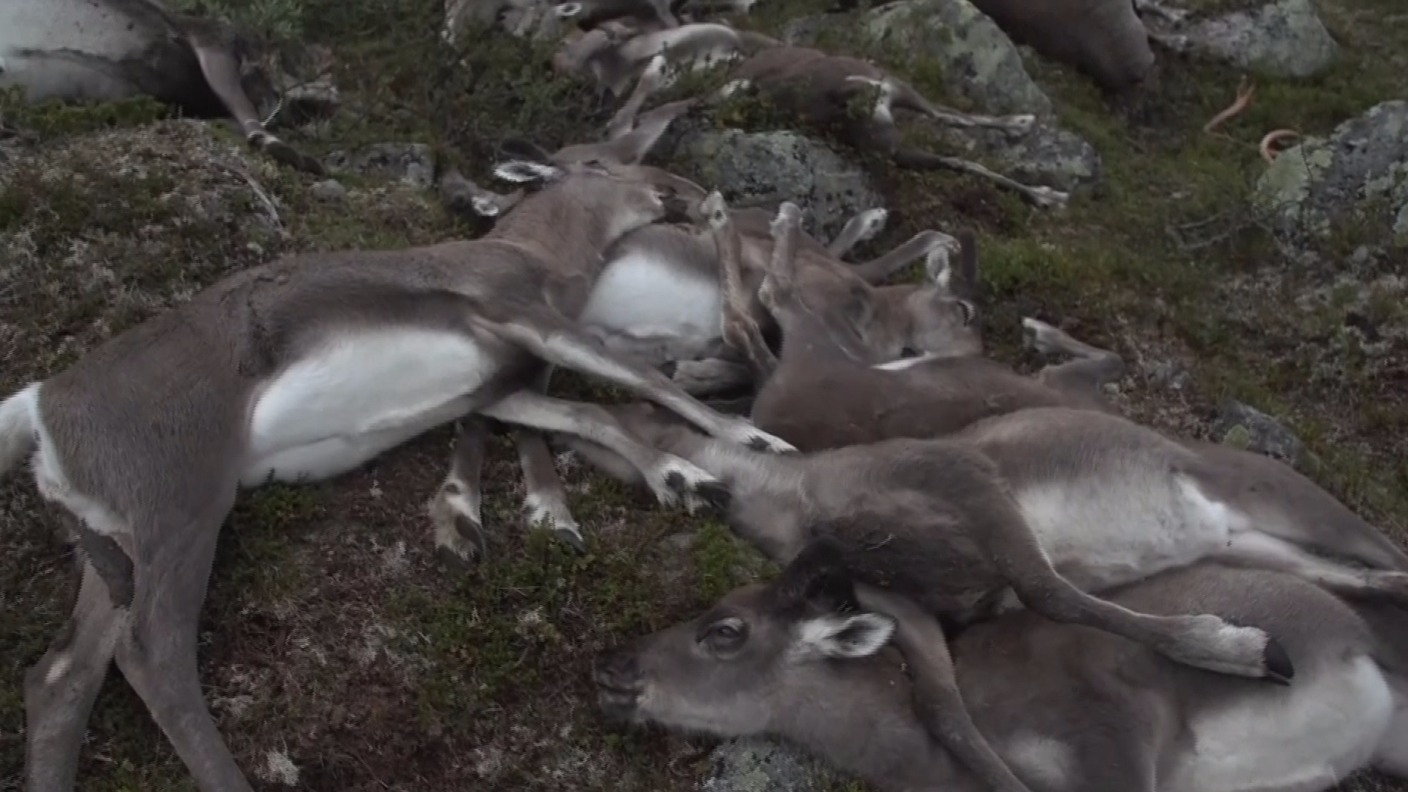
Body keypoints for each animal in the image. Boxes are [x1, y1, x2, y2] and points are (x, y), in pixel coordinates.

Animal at [0, 140, 821, 790]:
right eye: (596, 160)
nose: (681, 187)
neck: (537, 257)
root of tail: (40, 404)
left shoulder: (503, 383)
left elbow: (592, 415)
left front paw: (680, 480)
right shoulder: (524, 314)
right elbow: (643, 381)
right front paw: (753, 443)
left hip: (113, 541)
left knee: (61, 674)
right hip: (182, 501)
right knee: (152, 651)